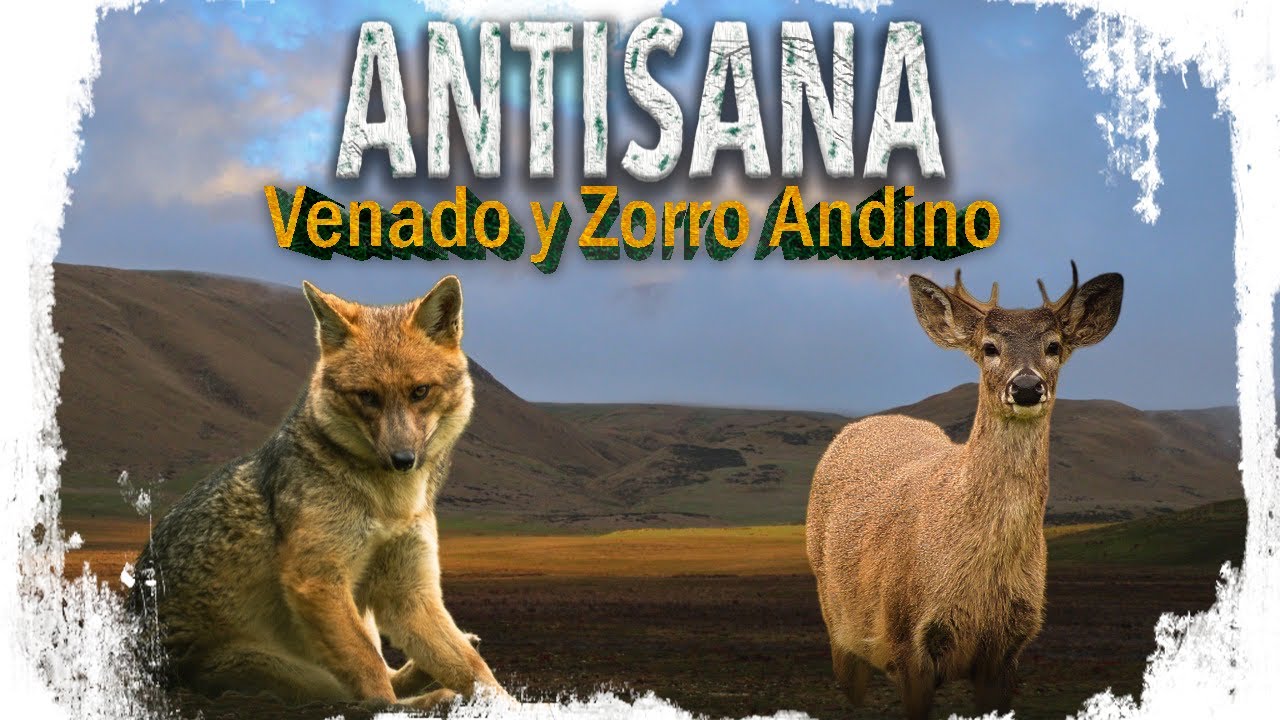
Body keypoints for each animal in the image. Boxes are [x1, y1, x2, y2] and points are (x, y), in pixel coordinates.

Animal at [128, 275, 506, 709]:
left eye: (420, 391)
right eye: (367, 396)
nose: (402, 458)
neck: (391, 502)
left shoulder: (408, 594)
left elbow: (477, 674)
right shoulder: (316, 580)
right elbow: (371, 676)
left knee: (398, 674)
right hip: (293, 671)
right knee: (370, 692)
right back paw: (434, 695)